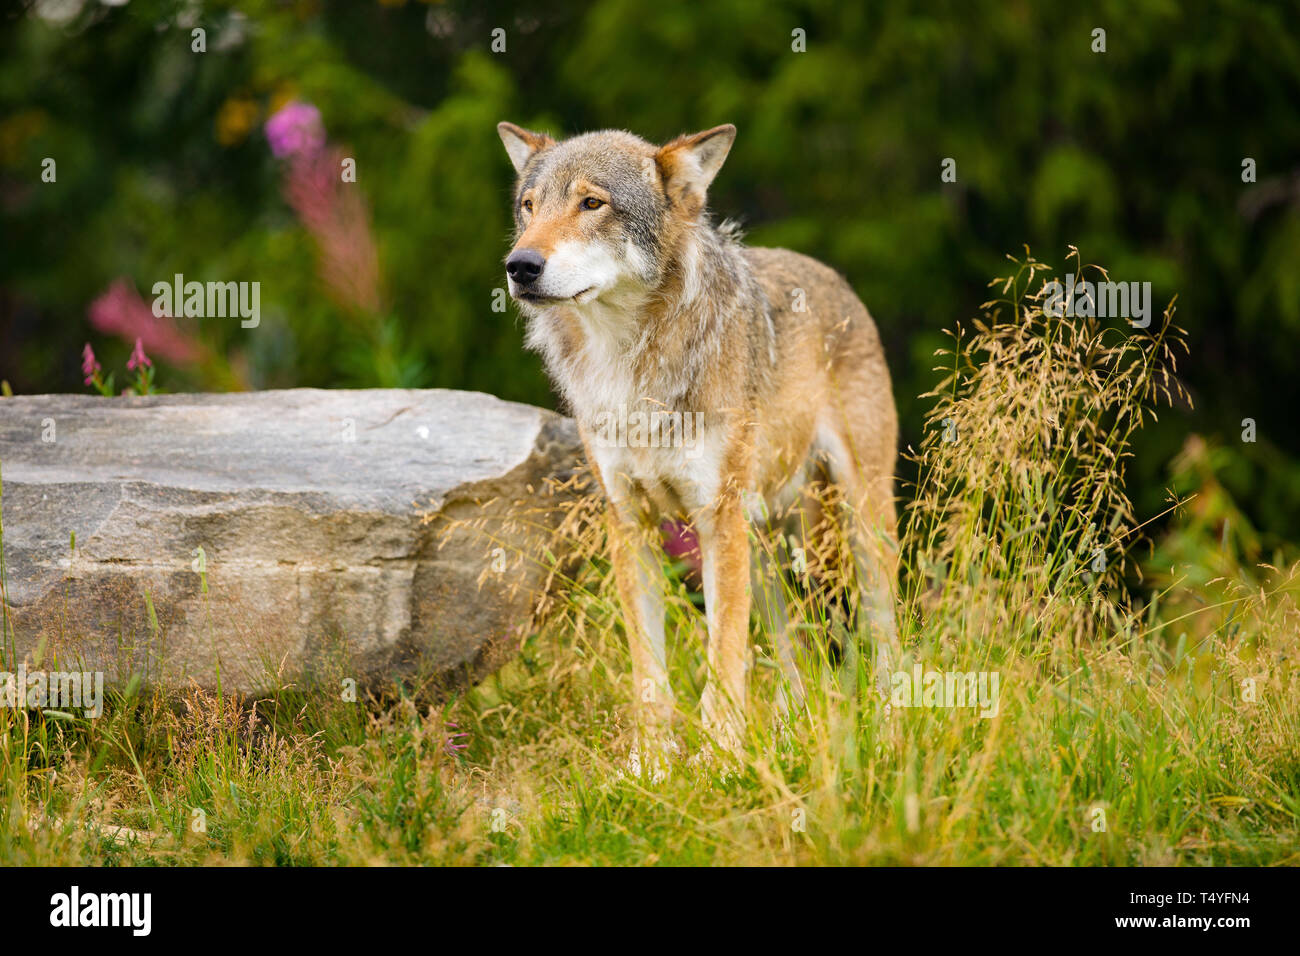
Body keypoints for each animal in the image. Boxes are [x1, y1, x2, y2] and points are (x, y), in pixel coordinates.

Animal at [498, 121, 899, 754]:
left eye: (592, 204)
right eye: (530, 208)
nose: (519, 265)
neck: (630, 365)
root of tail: (833, 276)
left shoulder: (716, 517)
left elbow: (724, 653)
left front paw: (721, 753)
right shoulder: (629, 523)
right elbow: (650, 671)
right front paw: (652, 762)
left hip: (857, 520)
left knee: (884, 631)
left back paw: (889, 727)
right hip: (763, 546)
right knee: (794, 651)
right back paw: (789, 729)